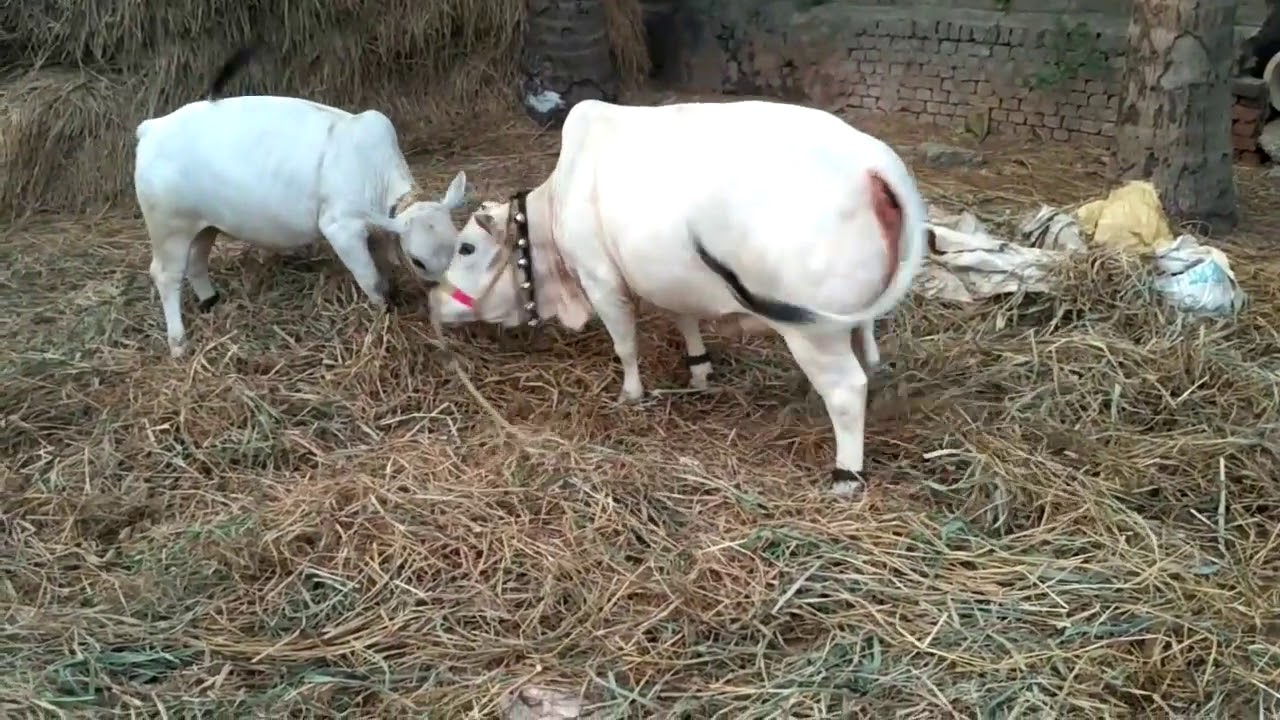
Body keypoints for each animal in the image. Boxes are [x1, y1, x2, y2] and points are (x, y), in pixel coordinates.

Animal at [133, 47, 467, 357]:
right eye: (419, 261)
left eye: (458, 249)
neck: (373, 170)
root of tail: (153, 126)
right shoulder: (341, 228)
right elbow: (371, 280)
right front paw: (384, 311)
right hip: (169, 226)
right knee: (166, 275)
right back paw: (178, 342)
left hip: (204, 223)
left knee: (196, 261)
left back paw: (210, 300)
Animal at [428, 99, 928, 496]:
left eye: (466, 248)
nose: (436, 302)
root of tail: (874, 165)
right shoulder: (668, 278)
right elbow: (683, 320)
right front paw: (699, 371)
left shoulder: (601, 279)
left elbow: (625, 345)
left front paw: (630, 394)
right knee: (865, 361)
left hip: (814, 331)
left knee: (846, 389)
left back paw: (846, 476)